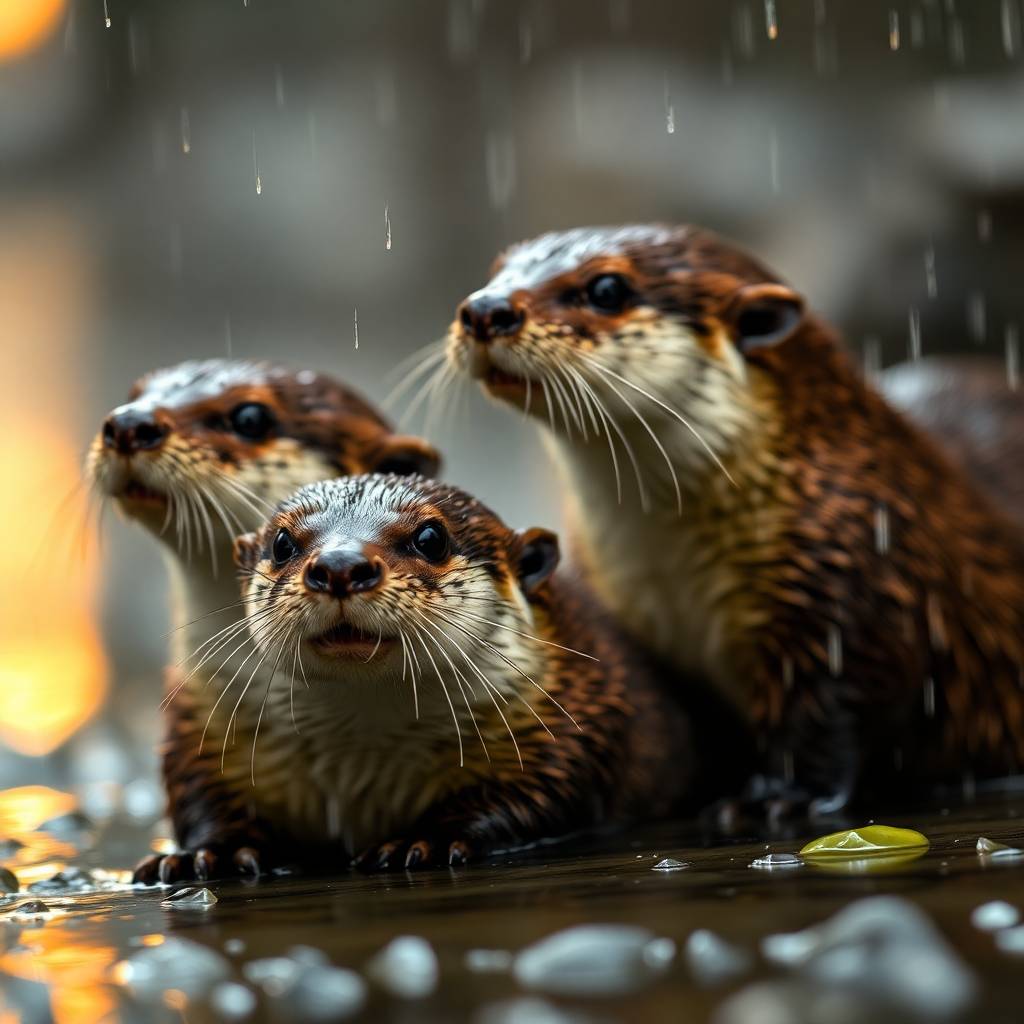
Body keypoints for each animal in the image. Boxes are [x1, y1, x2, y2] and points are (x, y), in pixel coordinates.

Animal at [135, 475, 692, 881]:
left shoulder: (572, 714)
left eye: (430, 537)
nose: (339, 565)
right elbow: (200, 790)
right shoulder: (206, 729)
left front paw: (424, 840)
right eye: (282, 542)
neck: (362, 755)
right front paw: (209, 853)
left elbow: (545, 785)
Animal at [443, 224, 1024, 819]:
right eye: (497, 271)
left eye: (607, 289)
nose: (484, 309)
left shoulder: (847, 578)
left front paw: (782, 798)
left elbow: (832, 714)